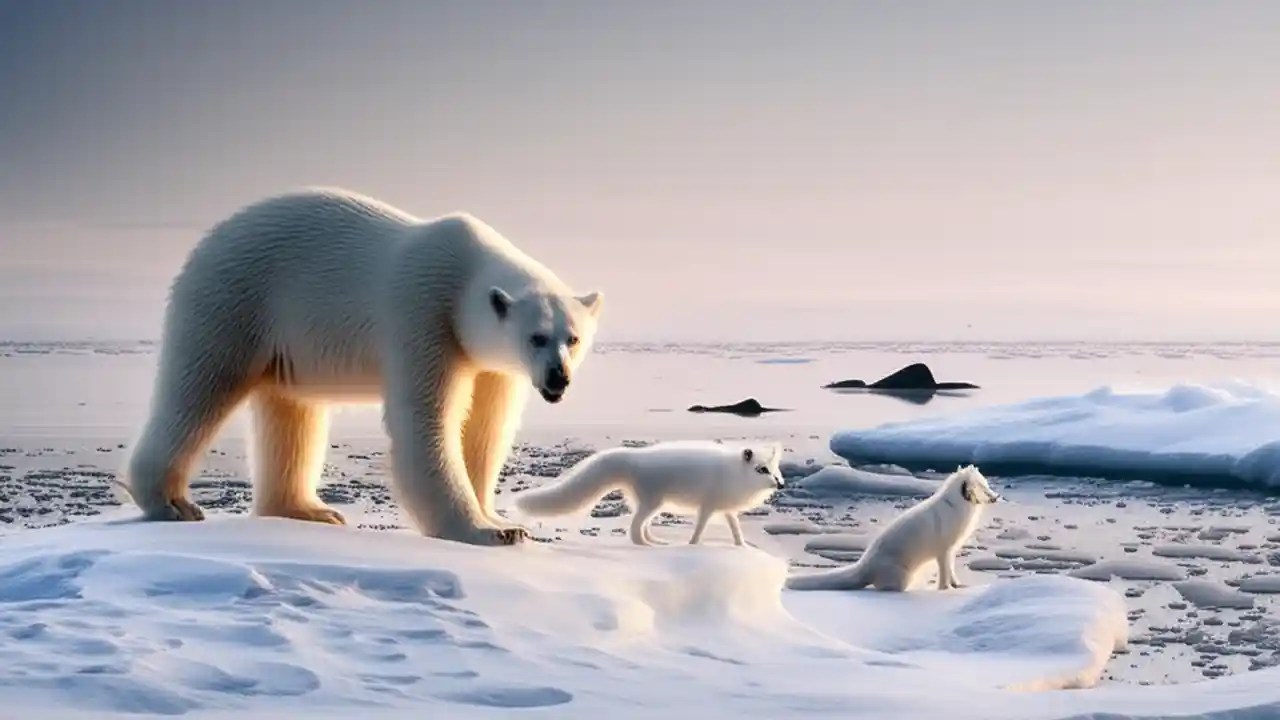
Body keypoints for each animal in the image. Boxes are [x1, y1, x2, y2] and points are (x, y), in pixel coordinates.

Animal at [123, 187, 604, 546]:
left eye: (573, 338)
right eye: (536, 336)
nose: (558, 378)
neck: (464, 275)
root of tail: (208, 241)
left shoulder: (490, 362)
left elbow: (487, 428)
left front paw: (500, 519)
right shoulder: (422, 313)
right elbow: (425, 422)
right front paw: (483, 531)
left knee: (292, 414)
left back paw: (308, 510)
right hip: (234, 301)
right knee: (198, 387)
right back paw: (173, 503)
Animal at [514, 441, 784, 546]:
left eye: (776, 470)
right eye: (761, 469)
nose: (780, 484)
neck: (735, 474)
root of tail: (633, 456)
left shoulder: (726, 509)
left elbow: (736, 529)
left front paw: (742, 547)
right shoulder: (707, 506)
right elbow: (699, 529)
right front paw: (692, 545)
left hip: (653, 504)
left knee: (642, 526)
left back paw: (656, 542)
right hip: (652, 502)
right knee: (634, 528)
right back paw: (645, 546)